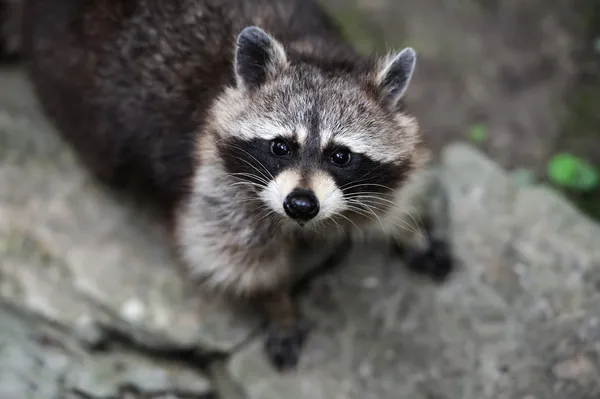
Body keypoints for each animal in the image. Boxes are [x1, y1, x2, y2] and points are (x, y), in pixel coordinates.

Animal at [12, 0, 450, 372]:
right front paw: (277, 303)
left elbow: (396, 192)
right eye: (281, 147)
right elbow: (235, 260)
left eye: (340, 155)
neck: (316, 56)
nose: (301, 205)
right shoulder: (213, 185)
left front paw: (410, 230)